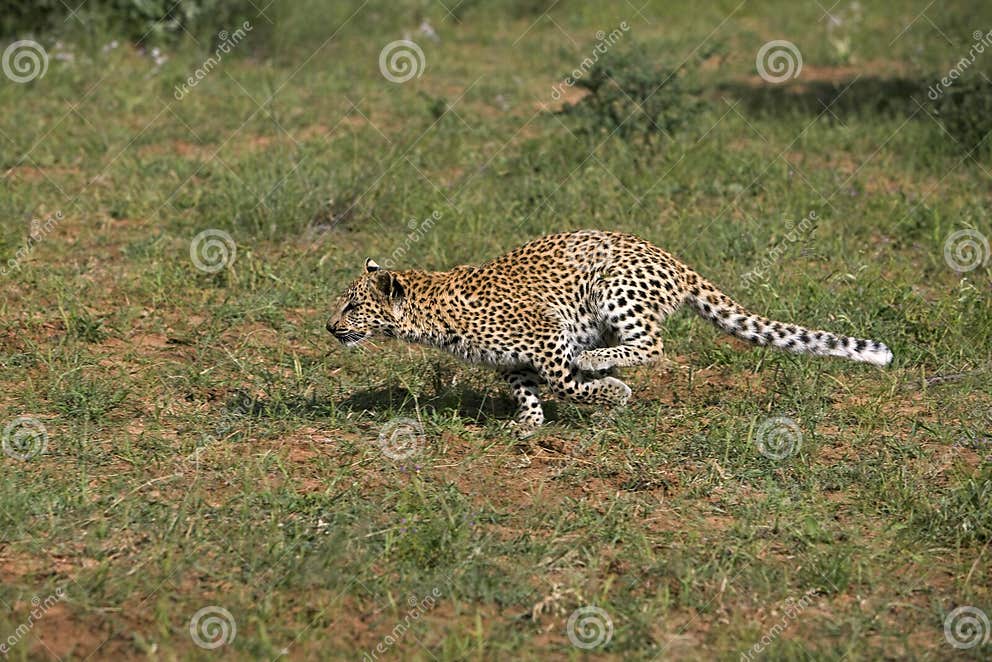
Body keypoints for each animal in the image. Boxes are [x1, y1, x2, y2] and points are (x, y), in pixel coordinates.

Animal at [326, 230, 892, 436]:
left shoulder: (547, 340)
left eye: (353, 305)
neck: (431, 314)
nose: (330, 328)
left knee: (654, 345)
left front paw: (611, 394)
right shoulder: (513, 361)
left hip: (614, 288)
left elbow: (566, 382)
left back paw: (604, 367)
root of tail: (674, 260)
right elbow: (529, 391)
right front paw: (528, 425)